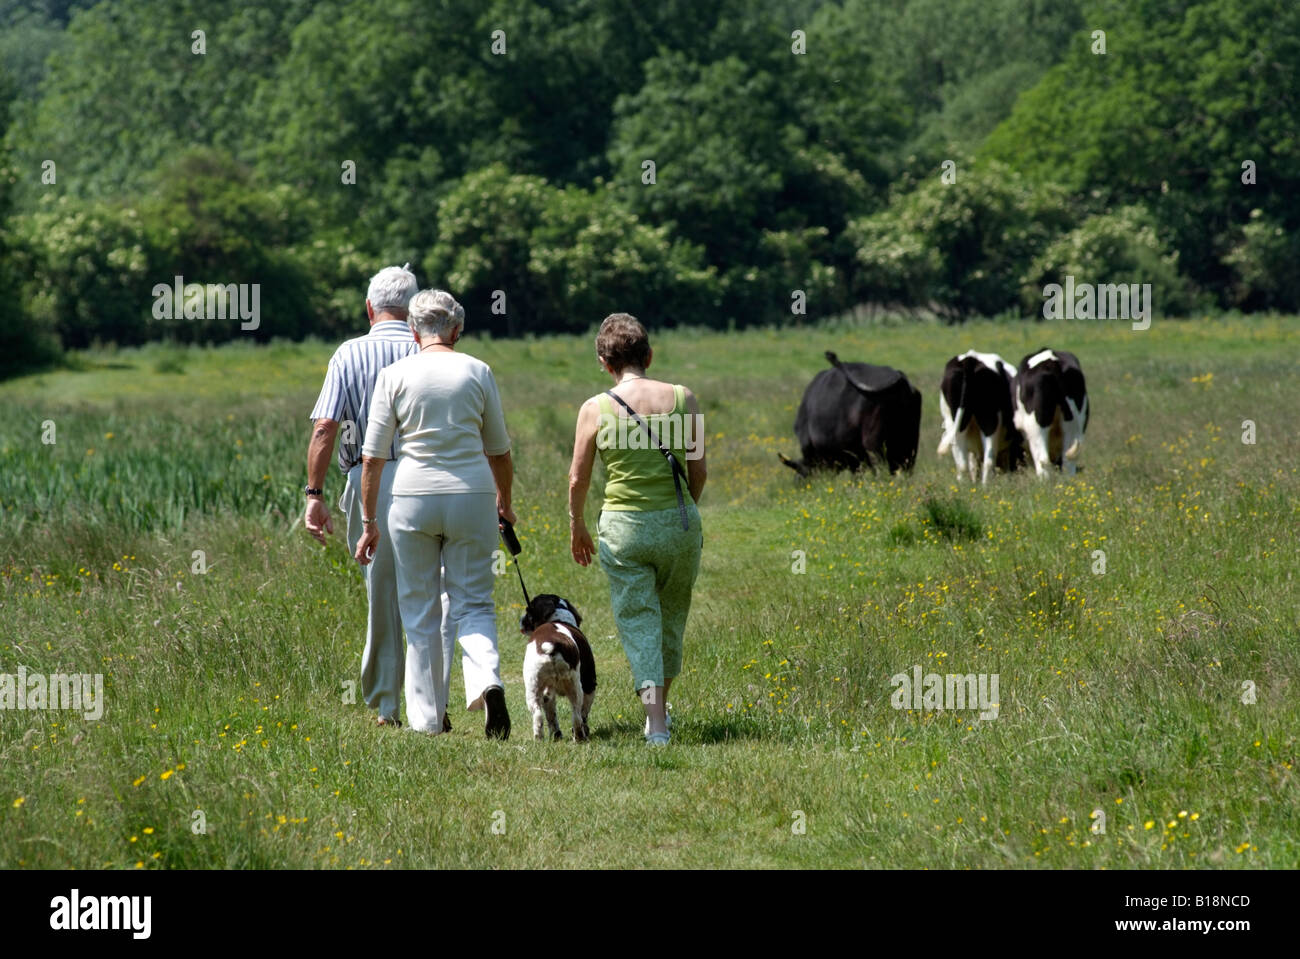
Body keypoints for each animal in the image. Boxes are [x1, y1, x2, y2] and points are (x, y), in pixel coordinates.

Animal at [936, 350, 1022, 484]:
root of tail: (971, 358)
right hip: (989, 420)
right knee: (988, 459)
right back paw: (986, 485)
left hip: (954, 422)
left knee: (962, 463)